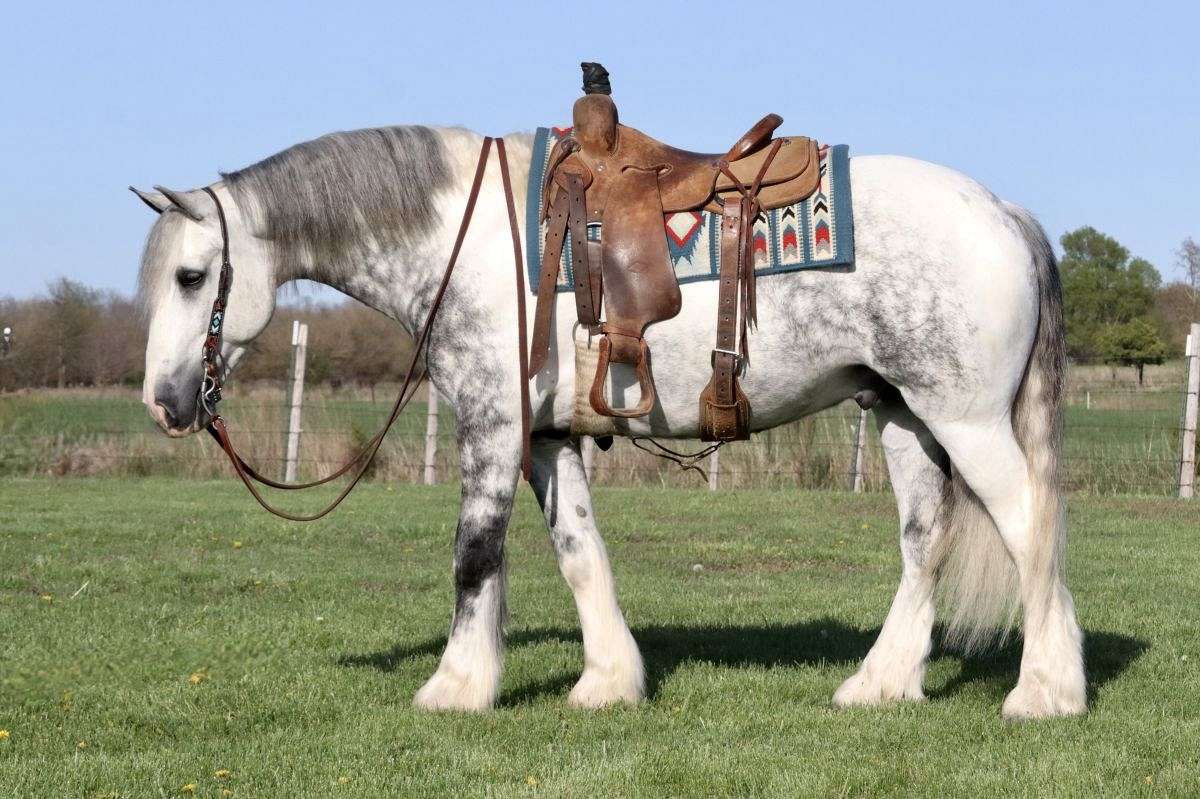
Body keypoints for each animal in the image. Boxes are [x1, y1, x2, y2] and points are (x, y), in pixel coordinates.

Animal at [131, 124, 1086, 718]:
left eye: (190, 276)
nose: (165, 402)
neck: (469, 239)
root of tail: (1005, 213)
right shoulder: (546, 440)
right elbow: (578, 551)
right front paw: (607, 681)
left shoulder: (491, 422)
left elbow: (474, 553)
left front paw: (457, 686)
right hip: (902, 415)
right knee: (926, 542)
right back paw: (882, 683)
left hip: (966, 420)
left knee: (1031, 527)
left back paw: (1046, 690)